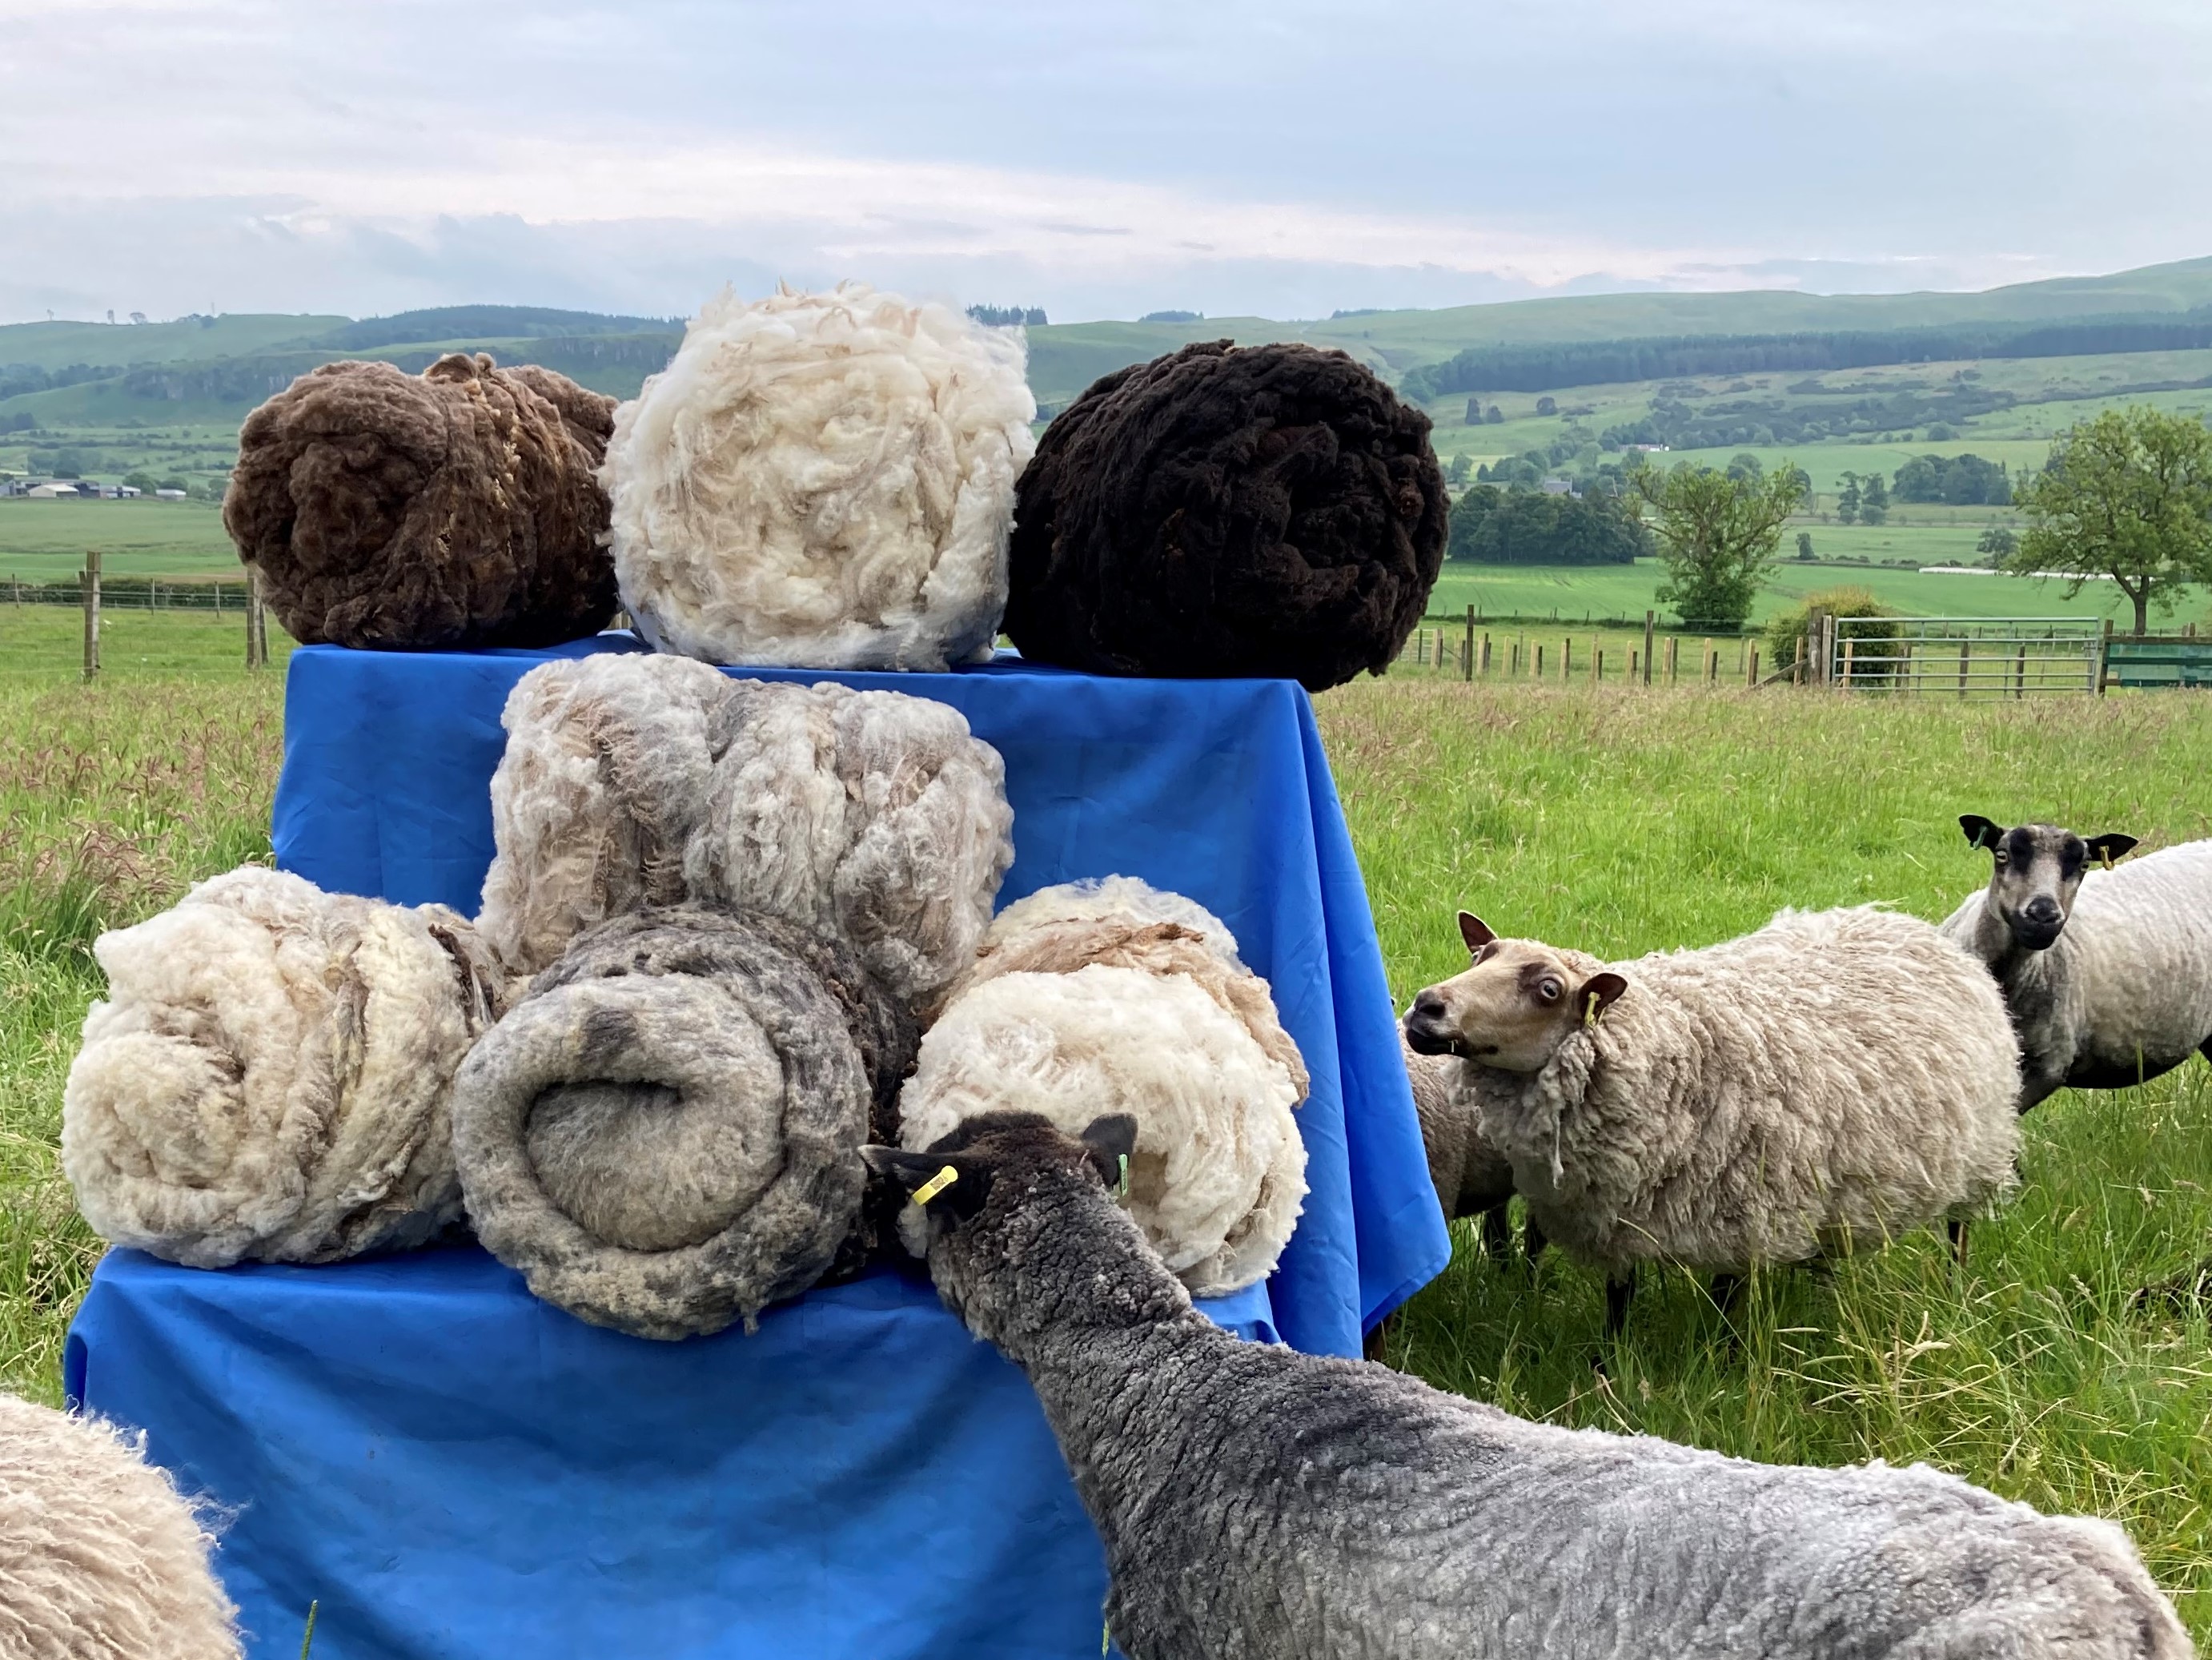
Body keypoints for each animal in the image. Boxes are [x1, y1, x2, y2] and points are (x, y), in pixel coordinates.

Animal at [1403, 906, 2021, 1331]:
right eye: (1479, 957)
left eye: (1548, 990)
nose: (1425, 1007)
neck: (1669, 1047)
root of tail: (1912, 926)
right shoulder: (1616, 1213)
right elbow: (1619, 1296)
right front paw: (1609, 1366)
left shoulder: (1742, 1211)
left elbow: (1726, 1299)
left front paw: (1723, 1359)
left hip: (1981, 1152)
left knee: (1958, 1229)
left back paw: (1954, 1288)